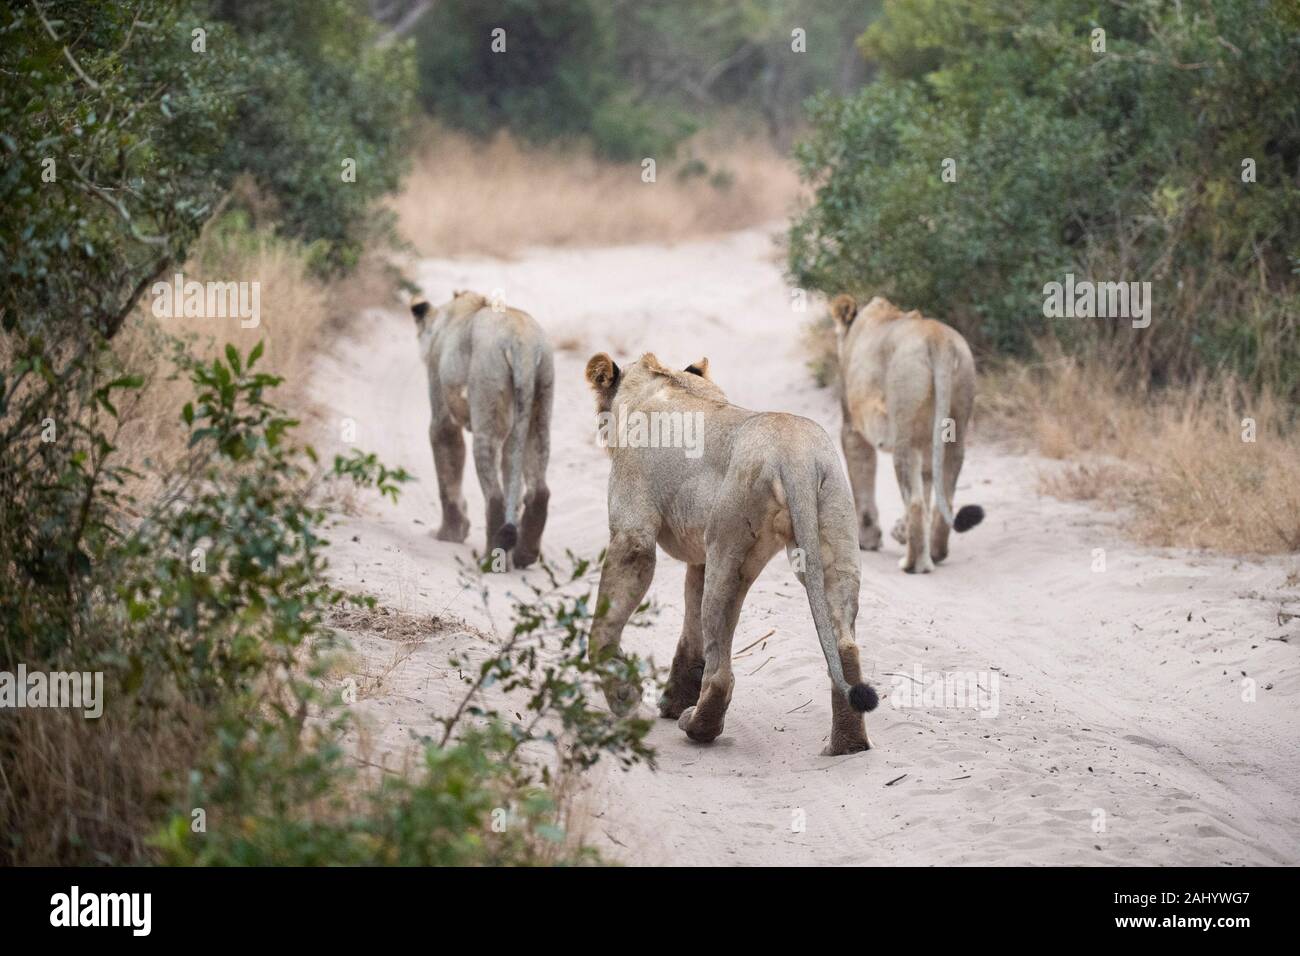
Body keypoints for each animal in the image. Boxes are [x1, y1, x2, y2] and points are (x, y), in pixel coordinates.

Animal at [411, 291, 553, 567]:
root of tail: (522, 343)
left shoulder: (442, 417)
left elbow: (447, 476)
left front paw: (449, 533)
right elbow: (512, 481)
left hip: (487, 408)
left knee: (495, 496)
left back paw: (492, 557)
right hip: (541, 402)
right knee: (537, 489)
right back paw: (523, 554)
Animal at [584, 351, 879, 755]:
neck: (659, 382)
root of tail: (796, 455)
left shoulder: (634, 534)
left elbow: (607, 622)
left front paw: (623, 696)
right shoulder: (699, 556)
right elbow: (690, 628)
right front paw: (673, 698)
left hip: (730, 546)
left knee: (721, 666)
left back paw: (697, 727)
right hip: (834, 538)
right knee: (844, 642)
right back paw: (848, 744)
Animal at [829, 294, 984, 573]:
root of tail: (938, 338)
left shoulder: (852, 429)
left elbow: (861, 481)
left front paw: (867, 539)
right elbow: (927, 483)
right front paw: (899, 532)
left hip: (905, 436)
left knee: (915, 501)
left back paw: (914, 564)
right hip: (954, 429)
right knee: (943, 497)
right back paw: (935, 553)